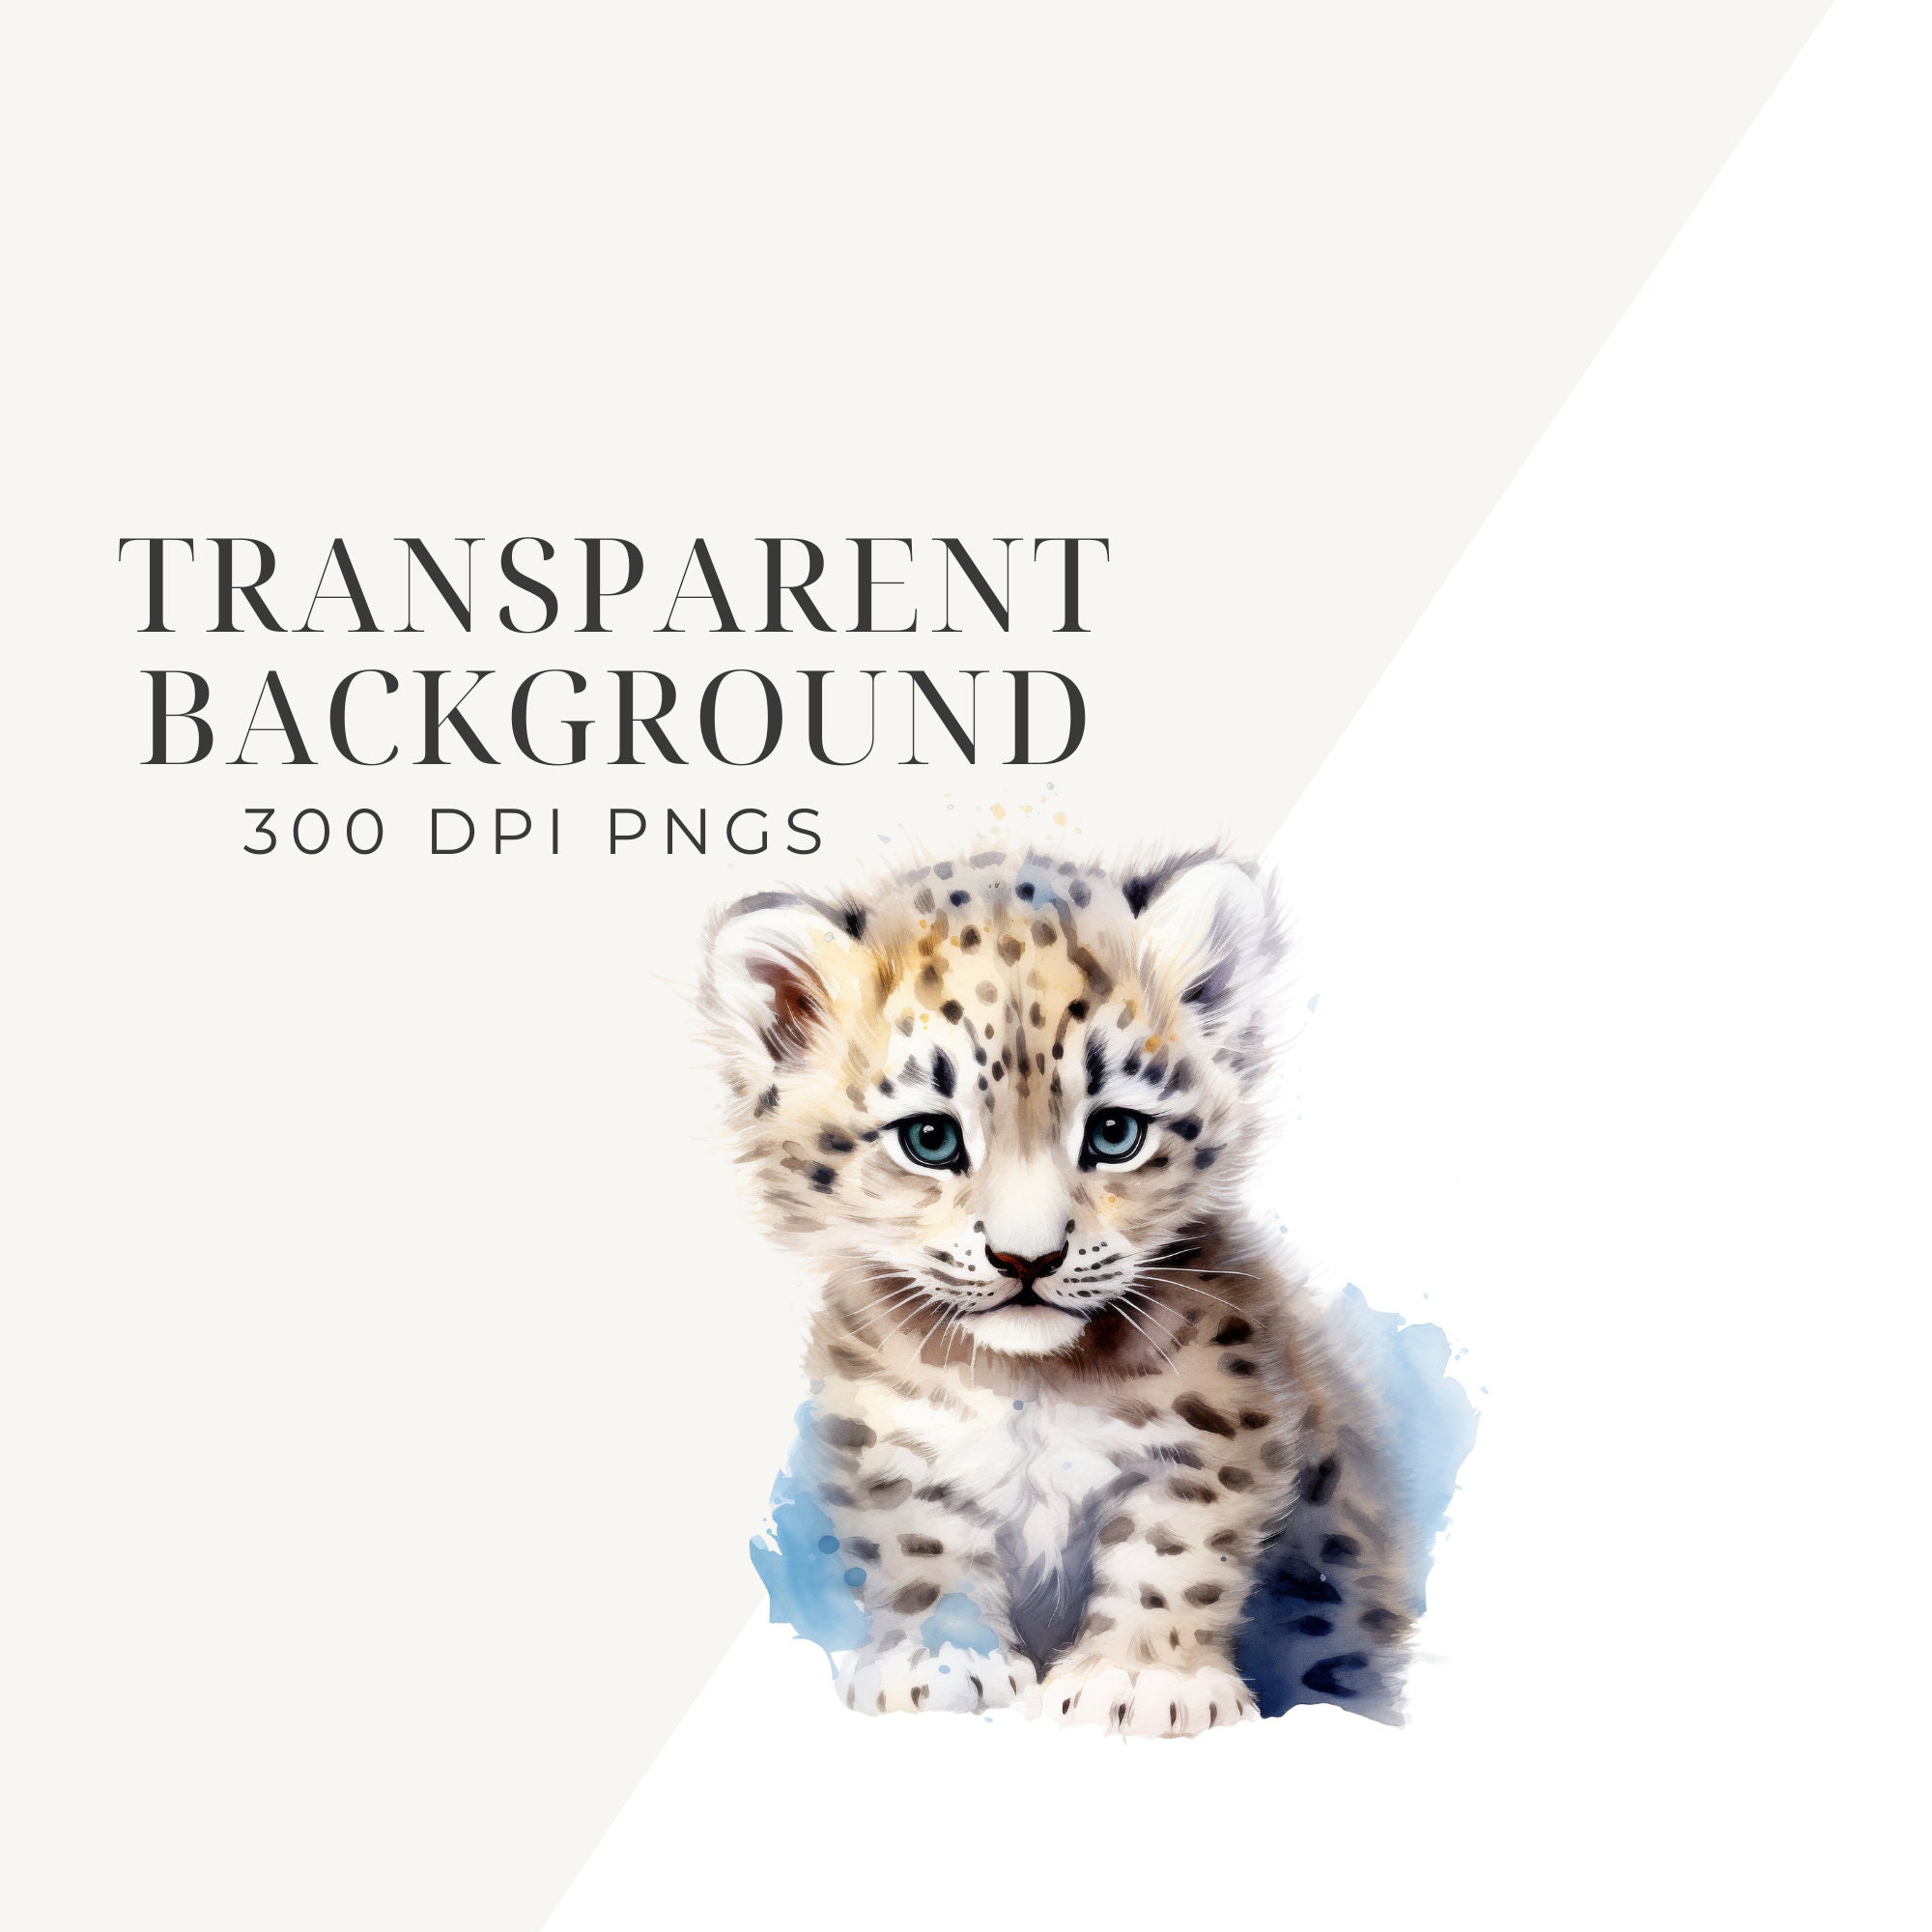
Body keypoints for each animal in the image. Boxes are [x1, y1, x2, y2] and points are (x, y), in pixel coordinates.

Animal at [700, 844, 1430, 1737]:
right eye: (930, 1137)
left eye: (1115, 1132)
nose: (1028, 1259)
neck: (1030, 1385)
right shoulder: (892, 1441)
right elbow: (917, 1544)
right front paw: (943, 1663)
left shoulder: (1212, 1431)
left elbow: (1176, 1549)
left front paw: (1144, 1681)